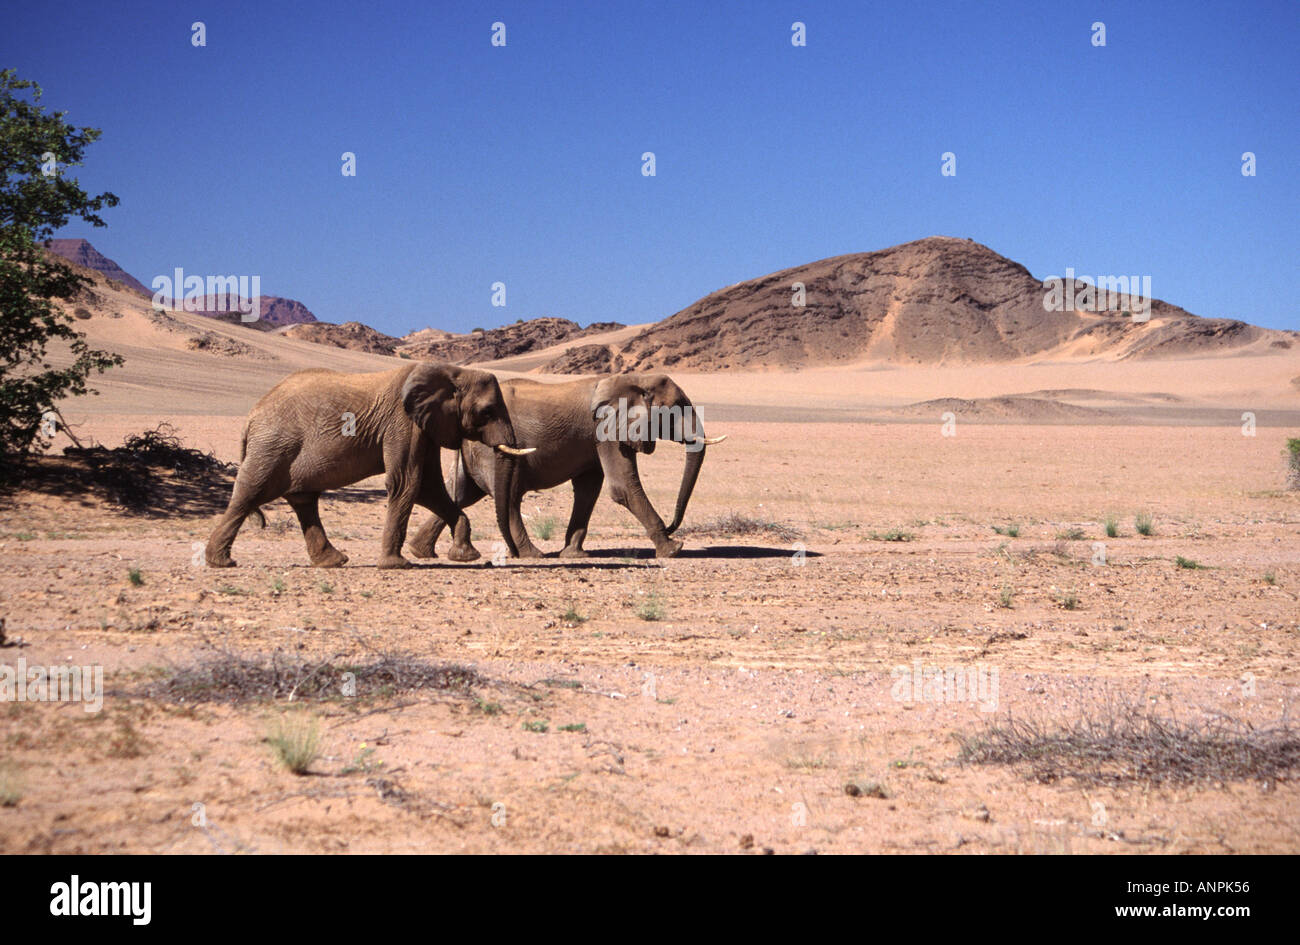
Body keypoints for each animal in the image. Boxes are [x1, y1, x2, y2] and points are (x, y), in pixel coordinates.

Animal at [204, 362, 533, 569]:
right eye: (487, 411)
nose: (515, 555)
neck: (451, 371)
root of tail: (251, 416)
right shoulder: (402, 423)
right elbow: (407, 483)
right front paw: (396, 565)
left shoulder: (423, 427)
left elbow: (429, 488)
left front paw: (466, 556)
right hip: (272, 446)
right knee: (249, 493)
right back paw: (221, 562)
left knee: (304, 501)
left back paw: (334, 562)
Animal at [406, 372, 725, 561]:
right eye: (677, 408)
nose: (672, 525)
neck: (632, 378)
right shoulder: (606, 430)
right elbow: (621, 487)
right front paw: (673, 549)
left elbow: (588, 489)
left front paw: (573, 555)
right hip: (491, 447)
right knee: (507, 498)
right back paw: (531, 555)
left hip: (476, 451)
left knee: (462, 493)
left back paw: (422, 551)